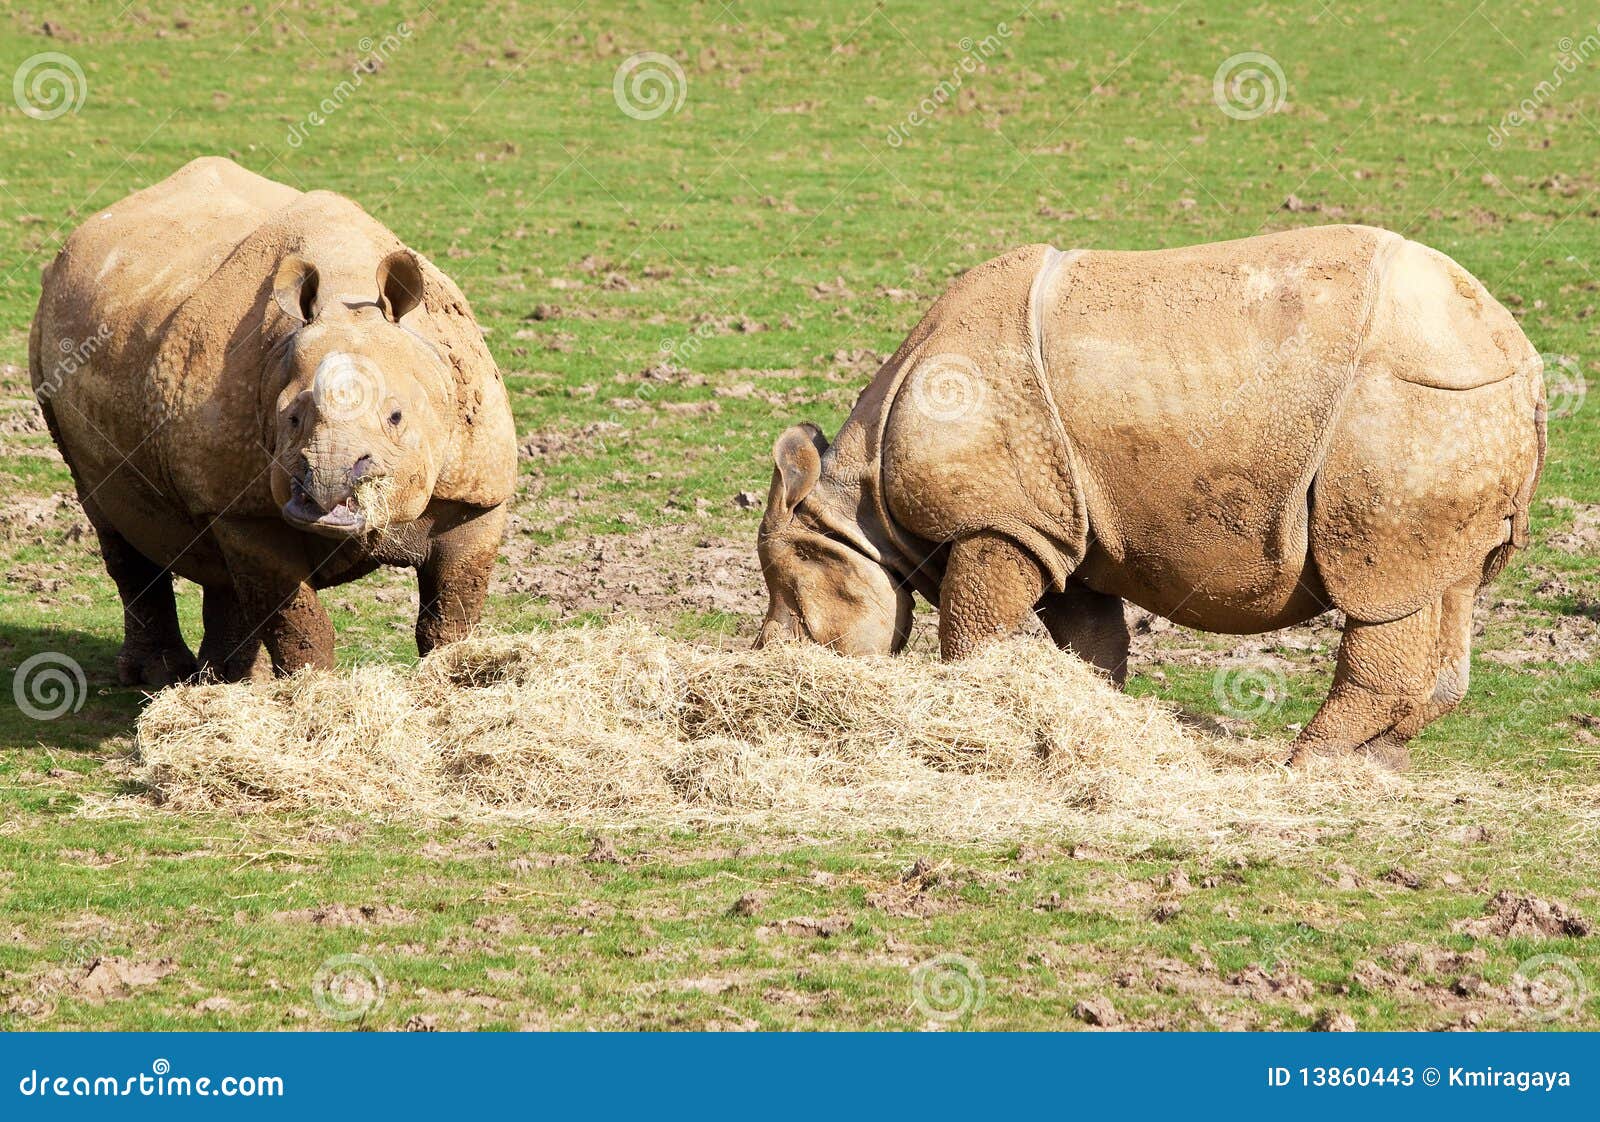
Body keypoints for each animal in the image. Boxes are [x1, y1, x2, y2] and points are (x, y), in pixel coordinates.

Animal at [31, 157, 517, 684]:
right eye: (292, 418)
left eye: (395, 416)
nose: (327, 488)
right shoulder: (246, 510)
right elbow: (298, 621)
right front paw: (312, 693)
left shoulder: (476, 494)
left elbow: (451, 613)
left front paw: (453, 677)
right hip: (49, 345)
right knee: (114, 522)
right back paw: (160, 677)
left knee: (219, 566)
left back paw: (227, 682)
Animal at [756, 226, 1547, 768]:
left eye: (795, 602)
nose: (768, 656)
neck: (855, 500)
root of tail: (1524, 358)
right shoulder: (1064, 527)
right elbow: (1092, 645)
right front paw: (1089, 720)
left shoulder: (1001, 522)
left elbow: (972, 633)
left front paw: (980, 713)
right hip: (1460, 408)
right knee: (1446, 585)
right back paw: (1370, 767)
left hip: (1419, 403)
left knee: (1381, 589)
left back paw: (1303, 767)